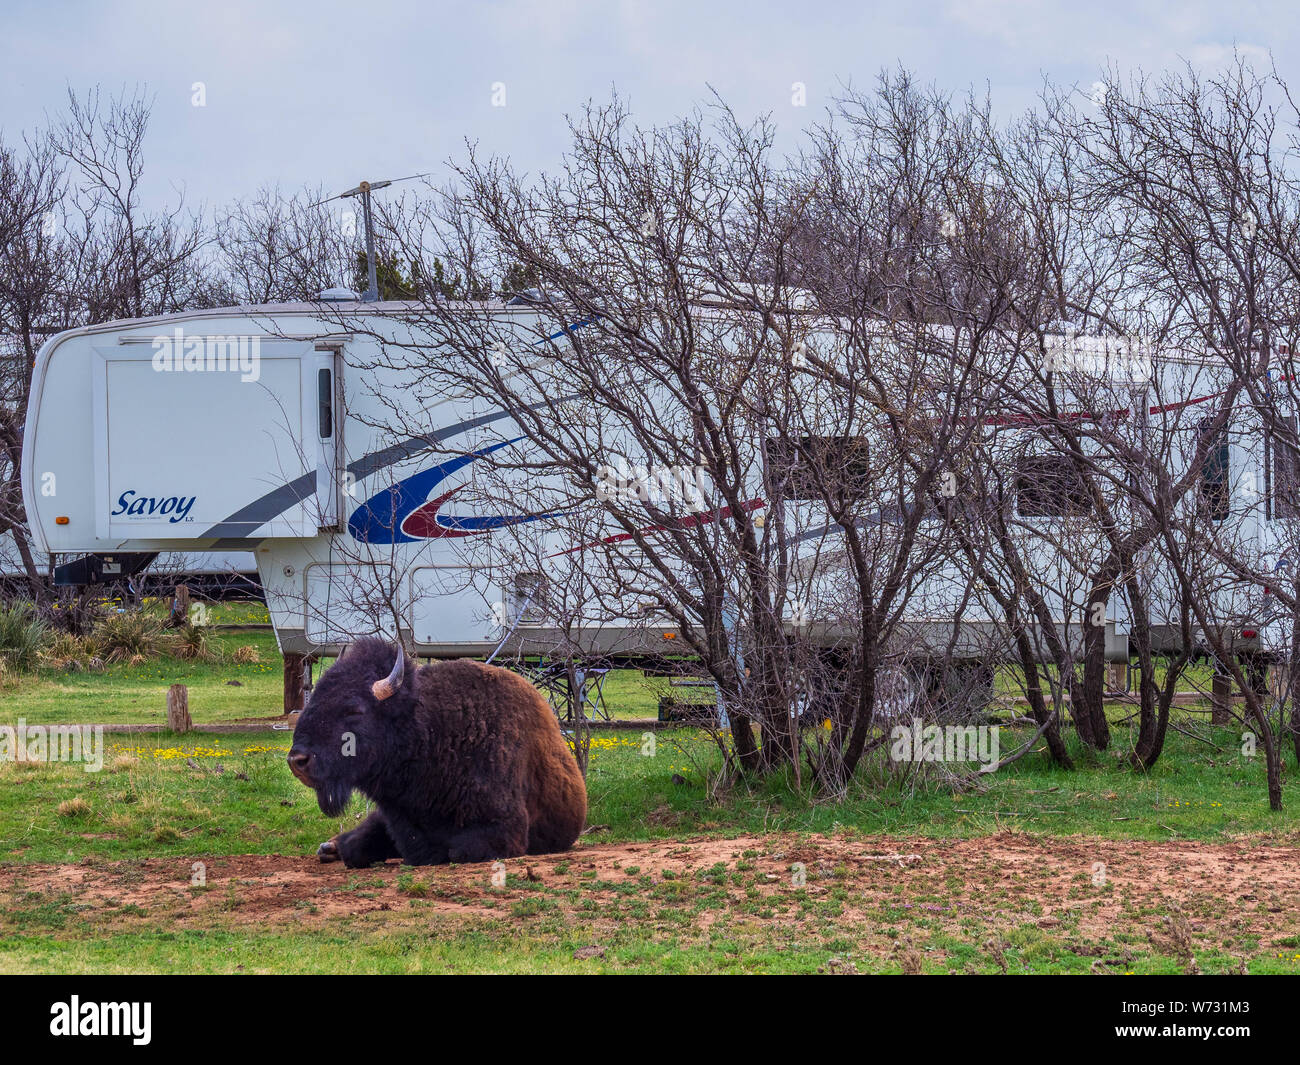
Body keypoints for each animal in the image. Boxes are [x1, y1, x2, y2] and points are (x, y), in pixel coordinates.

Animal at [287, 638, 587, 867]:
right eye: (315, 698)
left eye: (354, 710)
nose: (297, 760)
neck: (431, 731)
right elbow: (357, 849)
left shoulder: (504, 829)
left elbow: (456, 851)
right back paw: (328, 848)